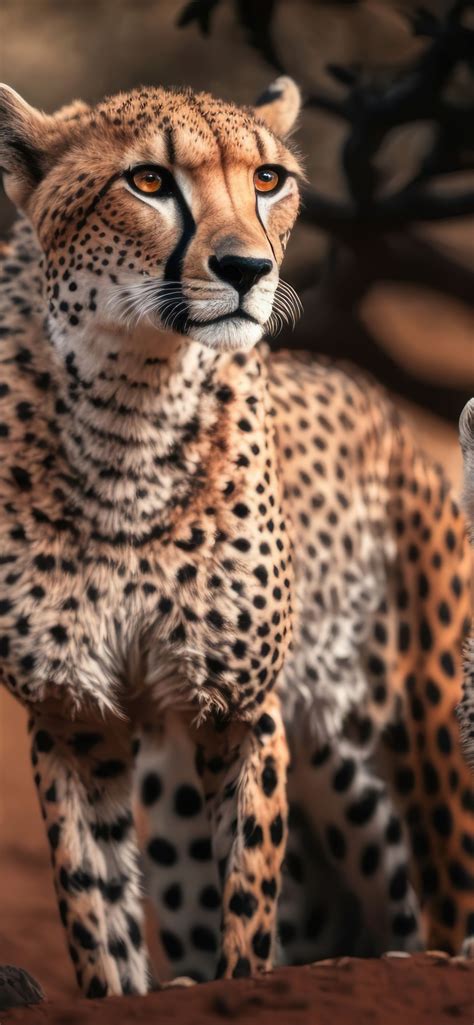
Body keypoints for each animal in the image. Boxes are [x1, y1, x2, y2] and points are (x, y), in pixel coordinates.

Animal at [0, 75, 473, 999]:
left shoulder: (243, 712)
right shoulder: (72, 716)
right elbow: (95, 916)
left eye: (267, 179)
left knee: (437, 915)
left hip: (421, 757)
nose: (248, 269)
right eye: (148, 181)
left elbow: (250, 909)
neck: (129, 414)